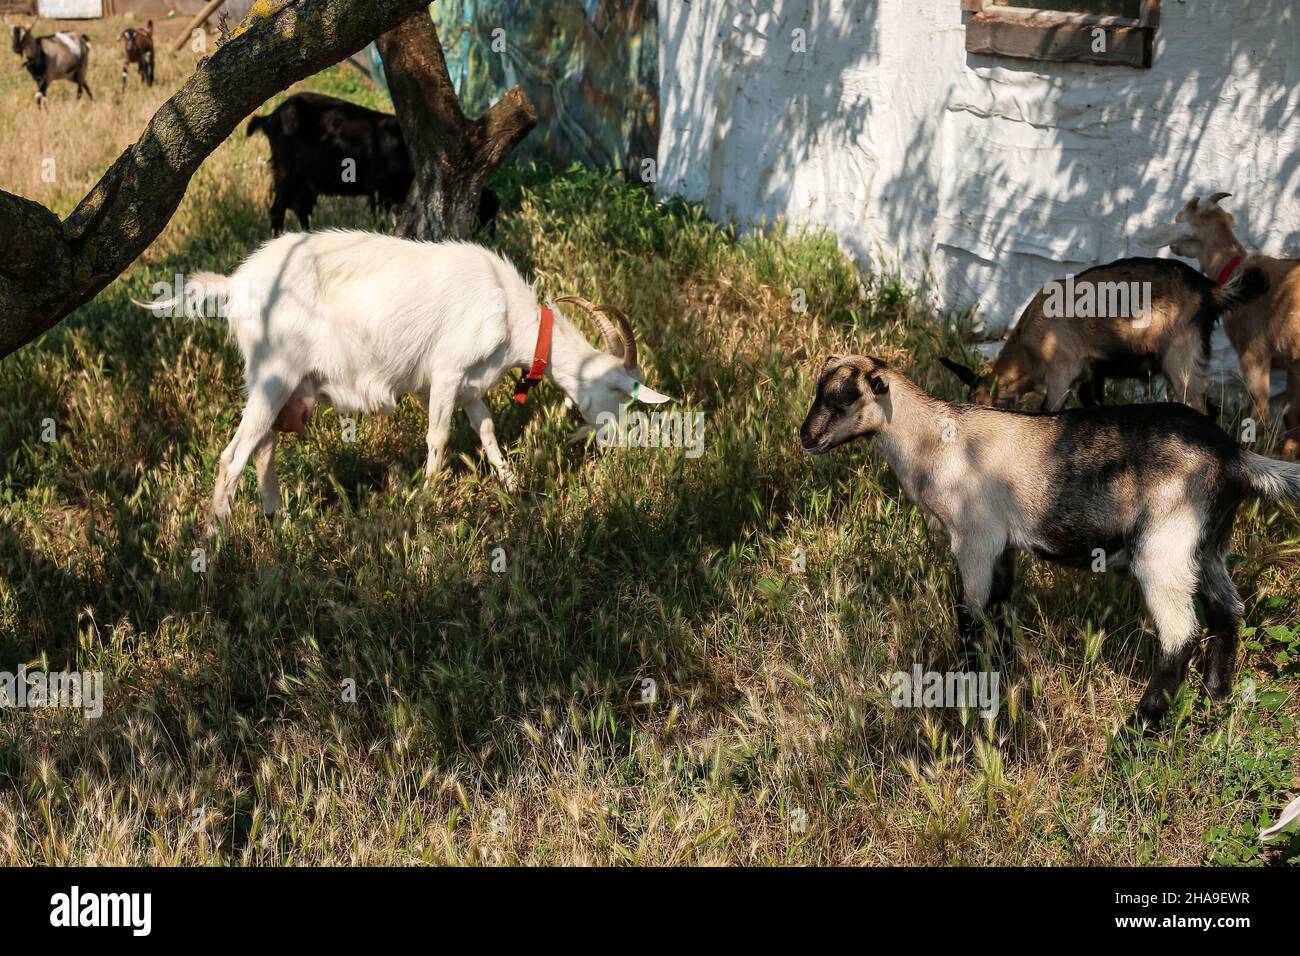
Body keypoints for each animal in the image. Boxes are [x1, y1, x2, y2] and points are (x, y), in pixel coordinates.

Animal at [135, 231, 670, 533]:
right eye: (621, 393)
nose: (612, 443)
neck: (511, 315)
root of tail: (236, 283)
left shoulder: (471, 386)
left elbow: (488, 433)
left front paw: (514, 487)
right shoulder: (448, 371)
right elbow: (438, 437)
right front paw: (426, 500)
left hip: (284, 384)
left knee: (263, 449)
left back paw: (279, 525)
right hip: (273, 372)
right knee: (234, 456)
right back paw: (214, 543)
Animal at [246, 92, 499, 236]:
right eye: (484, 214)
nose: (490, 239)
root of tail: (270, 117)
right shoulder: (376, 192)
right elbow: (378, 220)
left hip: (308, 183)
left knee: (301, 209)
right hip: (286, 170)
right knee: (278, 210)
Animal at [801, 354, 1300, 728]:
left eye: (844, 398)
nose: (807, 438)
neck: (935, 442)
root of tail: (1235, 457)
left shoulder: (975, 539)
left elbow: (968, 613)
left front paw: (965, 688)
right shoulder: (1002, 545)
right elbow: (1000, 607)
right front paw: (1006, 674)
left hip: (1165, 549)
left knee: (1181, 633)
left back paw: (1138, 728)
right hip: (1209, 546)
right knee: (1228, 611)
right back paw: (1215, 696)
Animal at [940, 258, 1267, 413]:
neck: (1027, 346)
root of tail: (1210, 290)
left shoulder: (1061, 375)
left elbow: (1049, 411)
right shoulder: (1092, 374)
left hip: (1182, 359)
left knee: (1199, 406)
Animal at [1138, 193, 1300, 457]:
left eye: (1180, 218)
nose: (1172, 246)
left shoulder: (1253, 353)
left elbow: (1260, 409)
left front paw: (1256, 449)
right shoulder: (1293, 365)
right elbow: (1292, 417)